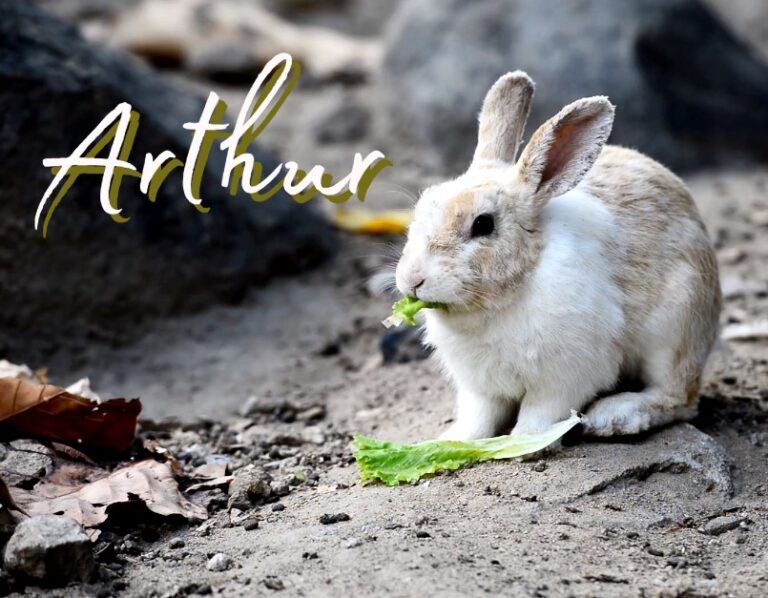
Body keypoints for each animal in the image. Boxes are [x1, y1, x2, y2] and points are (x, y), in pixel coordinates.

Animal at [395, 71, 721, 441]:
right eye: (422, 204)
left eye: (483, 224)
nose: (412, 278)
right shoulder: (480, 388)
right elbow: (480, 418)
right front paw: (455, 441)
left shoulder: (565, 377)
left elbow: (540, 412)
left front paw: (525, 442)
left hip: (676, 325)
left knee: (678, 396)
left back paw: (611, 417)